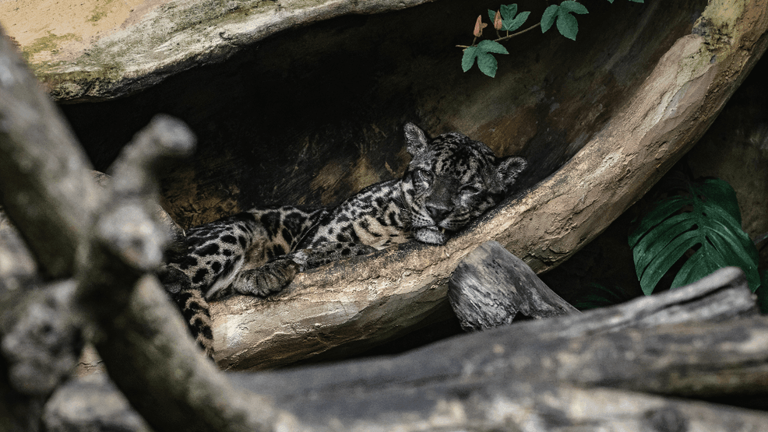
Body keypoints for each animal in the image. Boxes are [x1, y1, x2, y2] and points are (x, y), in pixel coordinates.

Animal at [160, 122, 527, 356]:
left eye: (470, 189)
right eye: (426, 174)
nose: (436, 211)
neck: (401, 227)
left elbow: (350, 249)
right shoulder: (319, 232)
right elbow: (327, 246)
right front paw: (268, 270)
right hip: (233, 231)